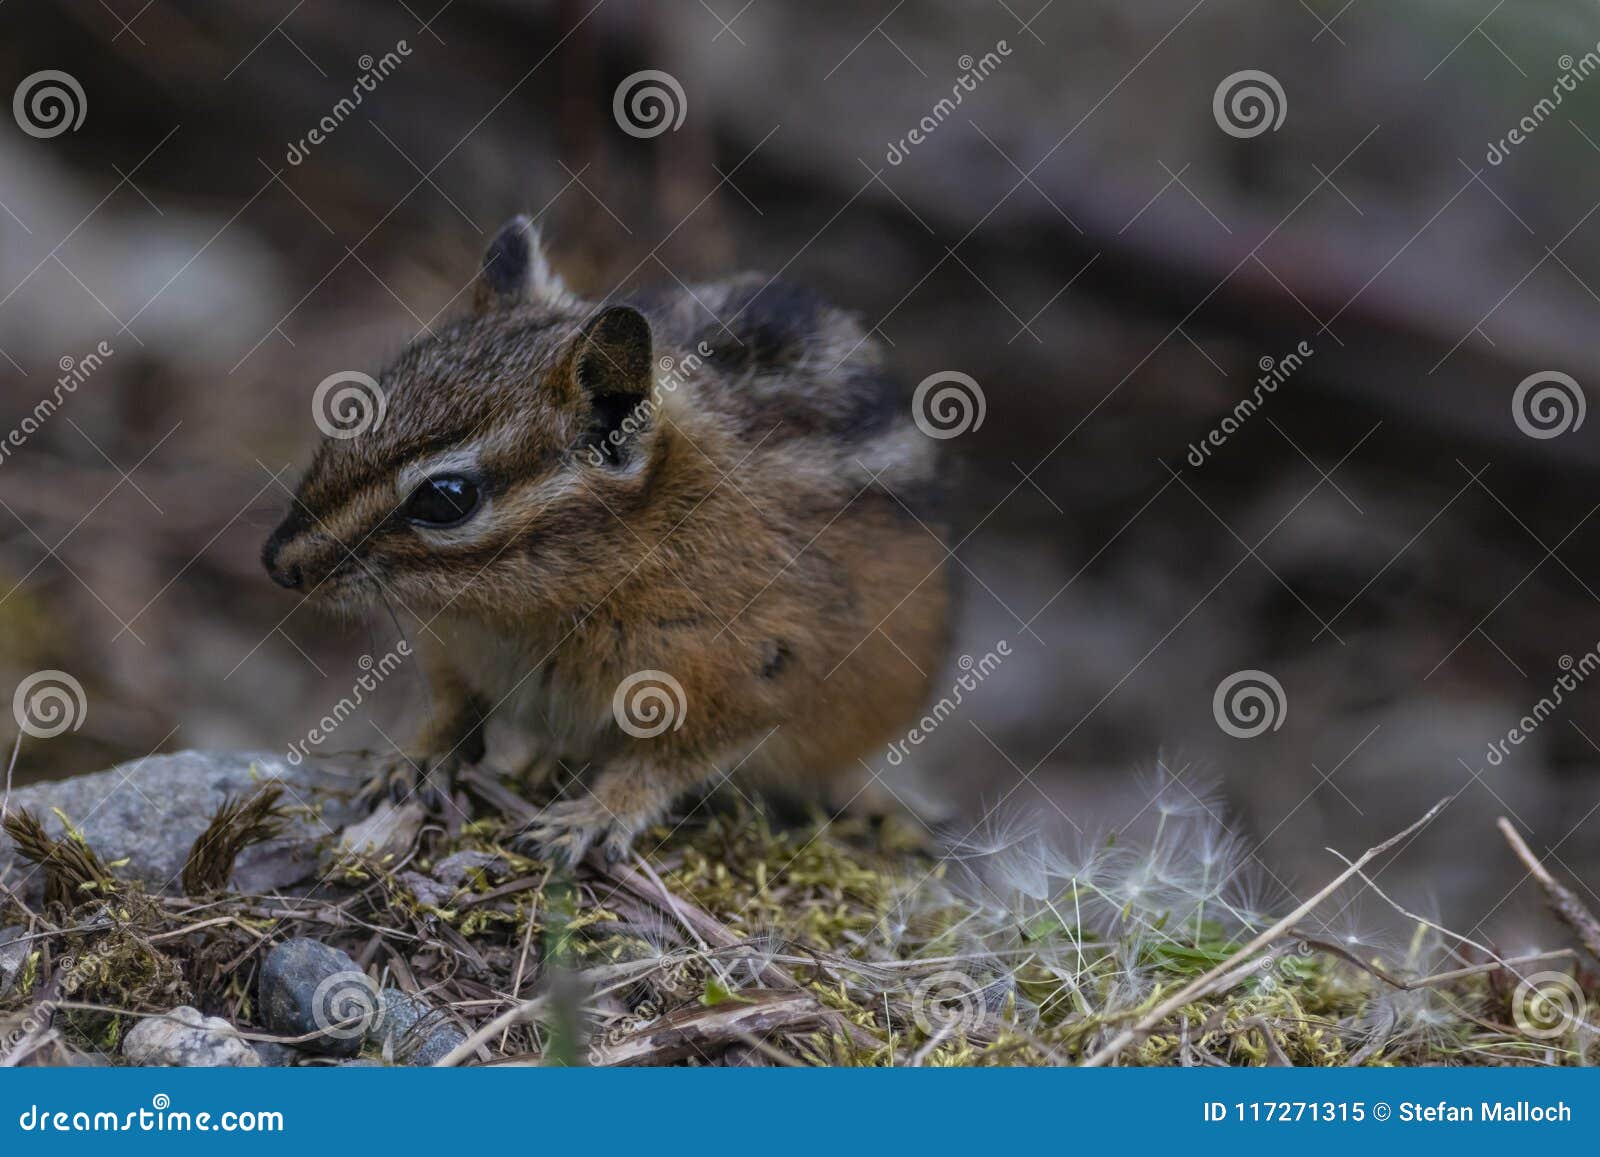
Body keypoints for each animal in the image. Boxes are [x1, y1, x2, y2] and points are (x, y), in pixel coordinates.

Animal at [262, 216, 952, 864]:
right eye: (361, 407)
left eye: (446, 497)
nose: (278, 563)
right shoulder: (450, 646)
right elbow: (454, 705)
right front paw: (418, 753)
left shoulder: (750, 678)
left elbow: (666, 764)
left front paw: (594, 815)